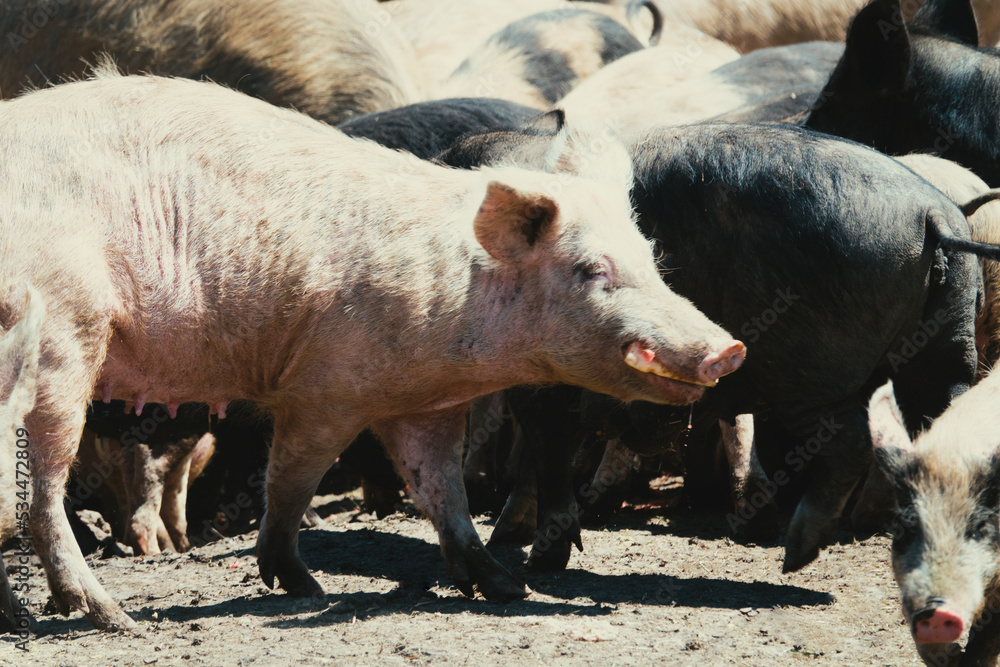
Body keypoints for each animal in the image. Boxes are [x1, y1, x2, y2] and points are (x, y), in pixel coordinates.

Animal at [1, 72, 744, 631]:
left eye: (650, 257)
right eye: (591, 270)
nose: (727, 350)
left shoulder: (426, 402)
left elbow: (441, 489)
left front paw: (504, 586)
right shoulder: (325, 386)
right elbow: (293, 479)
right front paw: (304, 586)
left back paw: (29, 615)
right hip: (62, 338)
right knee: (44, 493)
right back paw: (109, 617)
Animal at [436, 118, 1000, 573]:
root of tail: (932, 216)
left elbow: (546, 446)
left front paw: (534, 557)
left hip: (808, 365)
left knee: (851, 440)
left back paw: (795, 555)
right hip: (947, 339)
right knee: (946, 418)